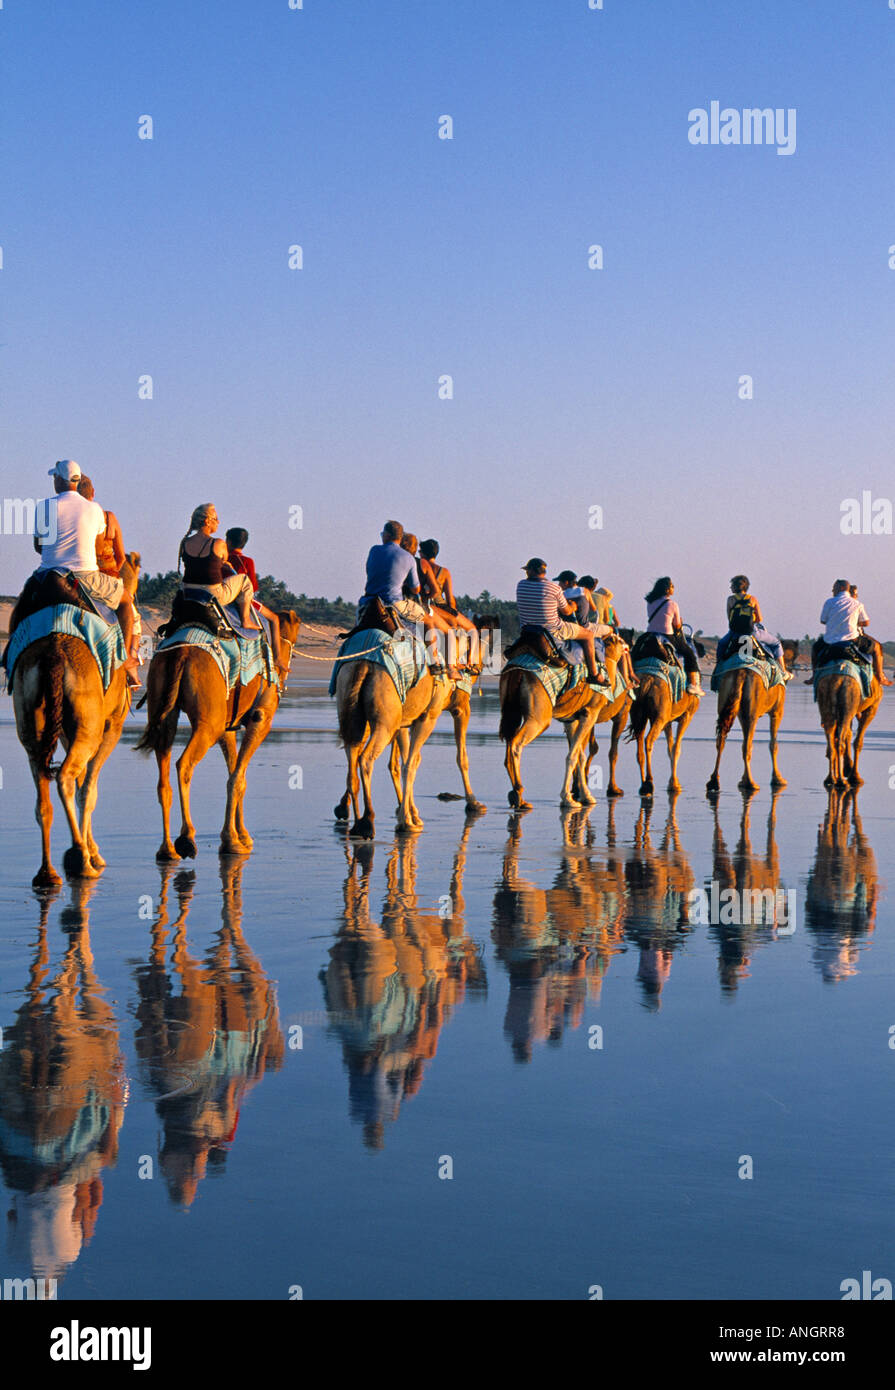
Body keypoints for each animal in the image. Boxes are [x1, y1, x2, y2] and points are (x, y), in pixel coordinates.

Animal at [10, 564, 140, 887]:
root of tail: (54, 653)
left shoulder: (70, 732)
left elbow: (85, 785)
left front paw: (89, 848)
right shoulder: (111, 726)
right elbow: (89, 790)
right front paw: (94, 853)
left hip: (31, 716)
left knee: (42, 788)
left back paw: (48, 872)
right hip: (89, 726)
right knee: (66, 778)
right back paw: (80, 860)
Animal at [135, 609, 301, 859]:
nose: (286, 668)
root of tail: (181, 654)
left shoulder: (227, 727)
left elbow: (235, 774)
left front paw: (242, 835)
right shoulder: (260, 720)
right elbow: (237, 778)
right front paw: (232, 841)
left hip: (163, 706)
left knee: (163, 778)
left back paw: (167, 849)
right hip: (208, 722)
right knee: (184, 764)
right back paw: (187, 838)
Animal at [498, 633, 624, 811]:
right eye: (620, 641)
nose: (627, 647)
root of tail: (518, 672)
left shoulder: (571, 719)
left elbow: (579, 755)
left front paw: (586, 796)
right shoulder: (590, 712)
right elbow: (573, 756)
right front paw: (568, 799)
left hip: (510, 709)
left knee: (509, 740)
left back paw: (516, 796)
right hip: (539, 717)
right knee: (516, 744)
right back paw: (519, 793)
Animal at [705, 653, 790, 795]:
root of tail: (741, 674)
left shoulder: (741, 714)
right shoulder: (777, 711)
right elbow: (773, 745)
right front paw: (778, 779)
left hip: (727, 700)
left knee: (721, 740)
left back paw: (714, 781)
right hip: (752, 712)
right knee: (747, 745)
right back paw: (750, 783)